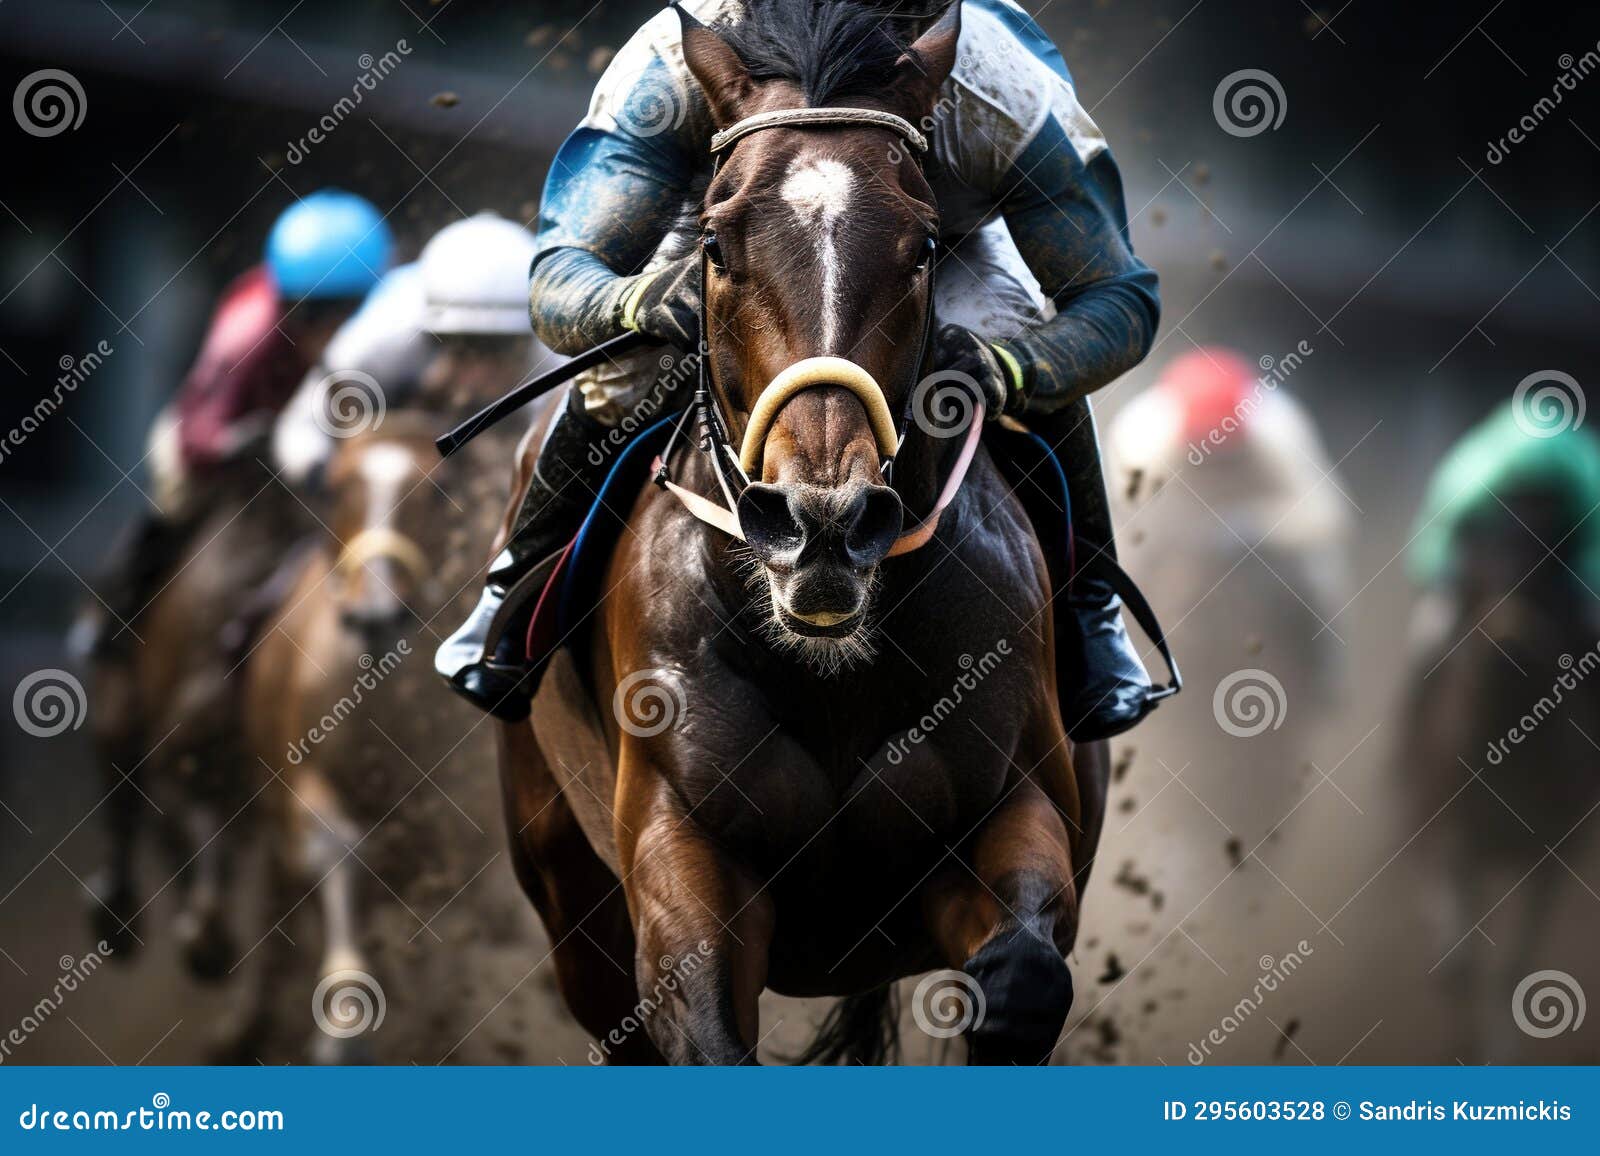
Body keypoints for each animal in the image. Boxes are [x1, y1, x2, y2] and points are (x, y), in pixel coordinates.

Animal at [1398, 487, 1600, 1062]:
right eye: (1468, 582)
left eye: (1556, 581)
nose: (1506, 651)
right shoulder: (1456, 841)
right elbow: (1465, 962)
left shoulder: (1554, 853)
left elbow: (1516, 967)